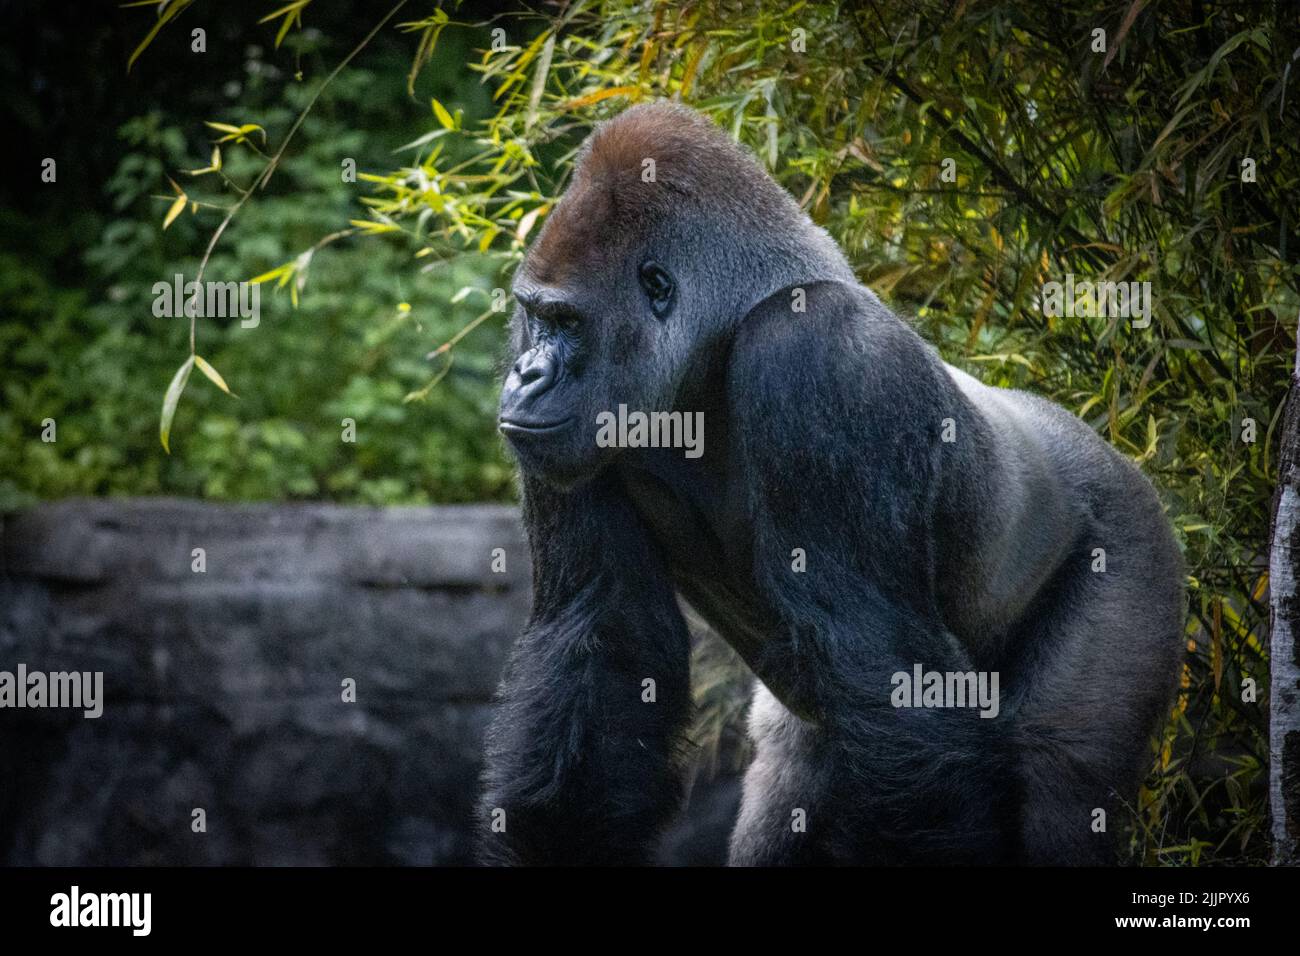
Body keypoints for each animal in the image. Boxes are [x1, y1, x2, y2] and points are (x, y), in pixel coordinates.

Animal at [477, 101, 1185, 865]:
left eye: (568, 322)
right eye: (536, 318)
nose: (526, 376)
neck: (724, 330)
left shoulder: (824, 355)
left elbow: (885, 664)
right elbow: (602, 641)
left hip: (1133, 550)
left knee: (1061, 775)